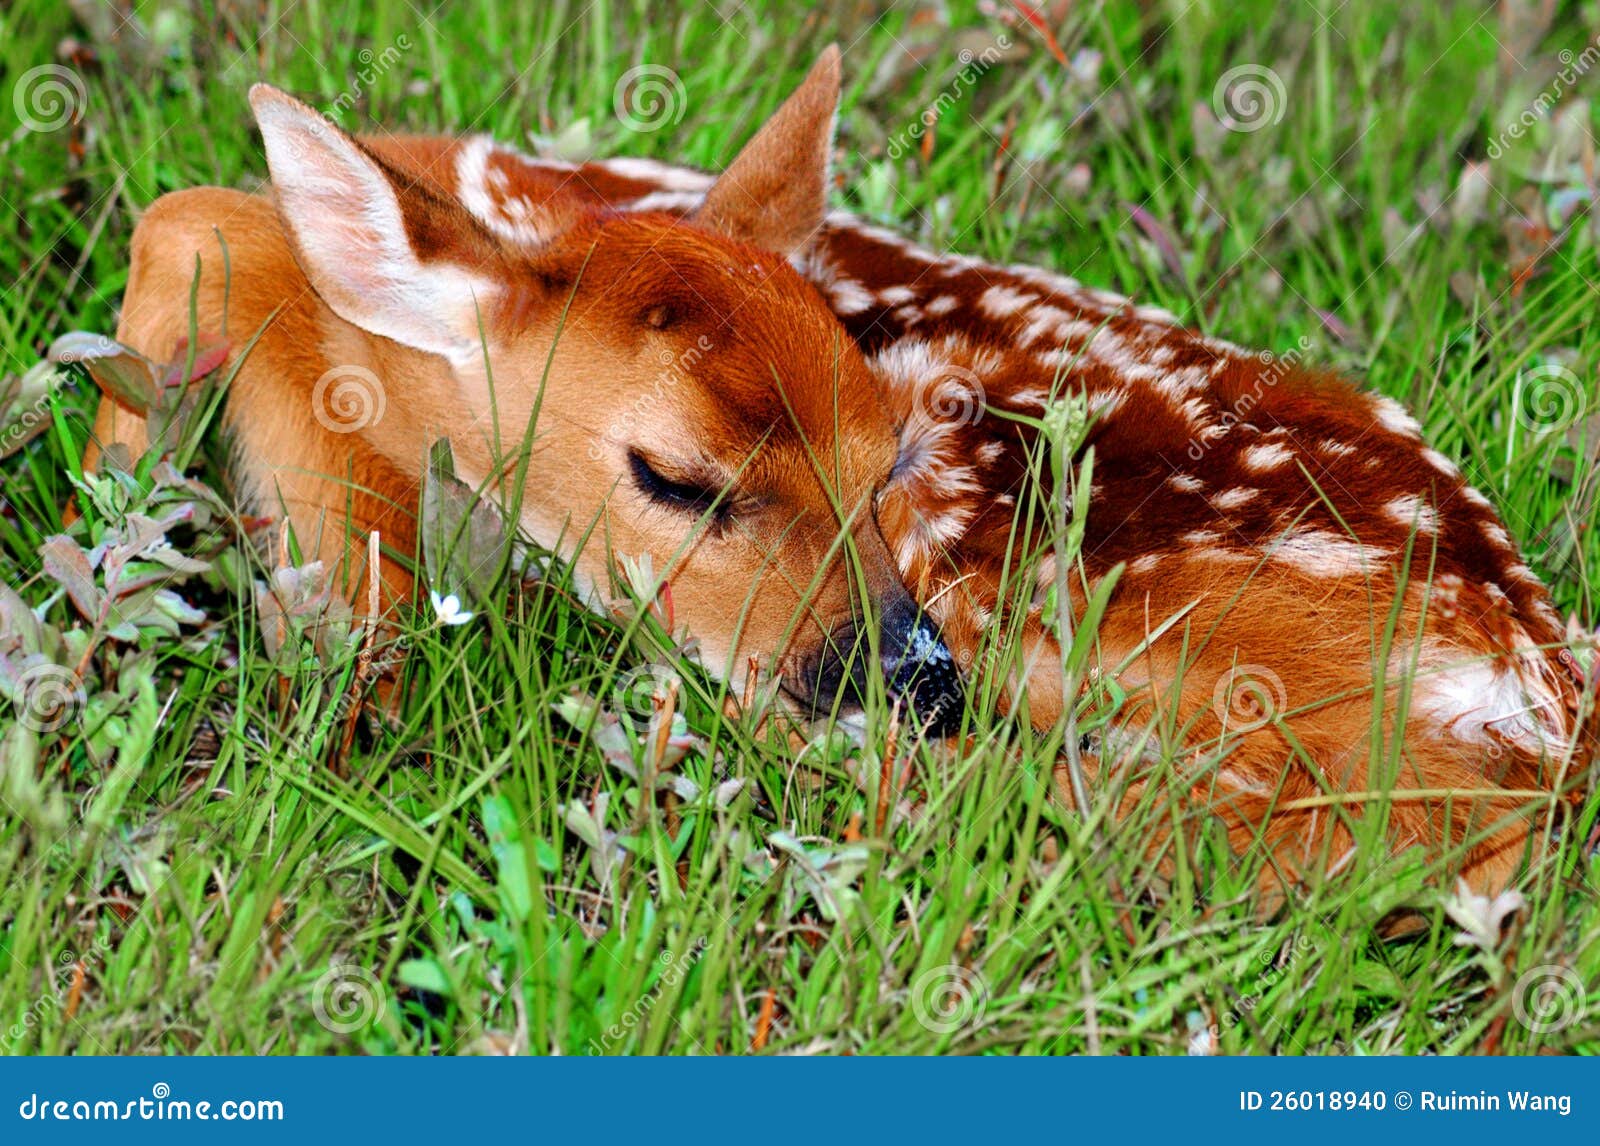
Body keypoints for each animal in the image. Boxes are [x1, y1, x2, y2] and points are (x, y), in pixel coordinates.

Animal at [86, 50, 1591, 907]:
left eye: (886, 454)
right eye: (674, 476)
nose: (910, 675)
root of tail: (1530, 716)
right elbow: (190, 226)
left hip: (1067, 598)